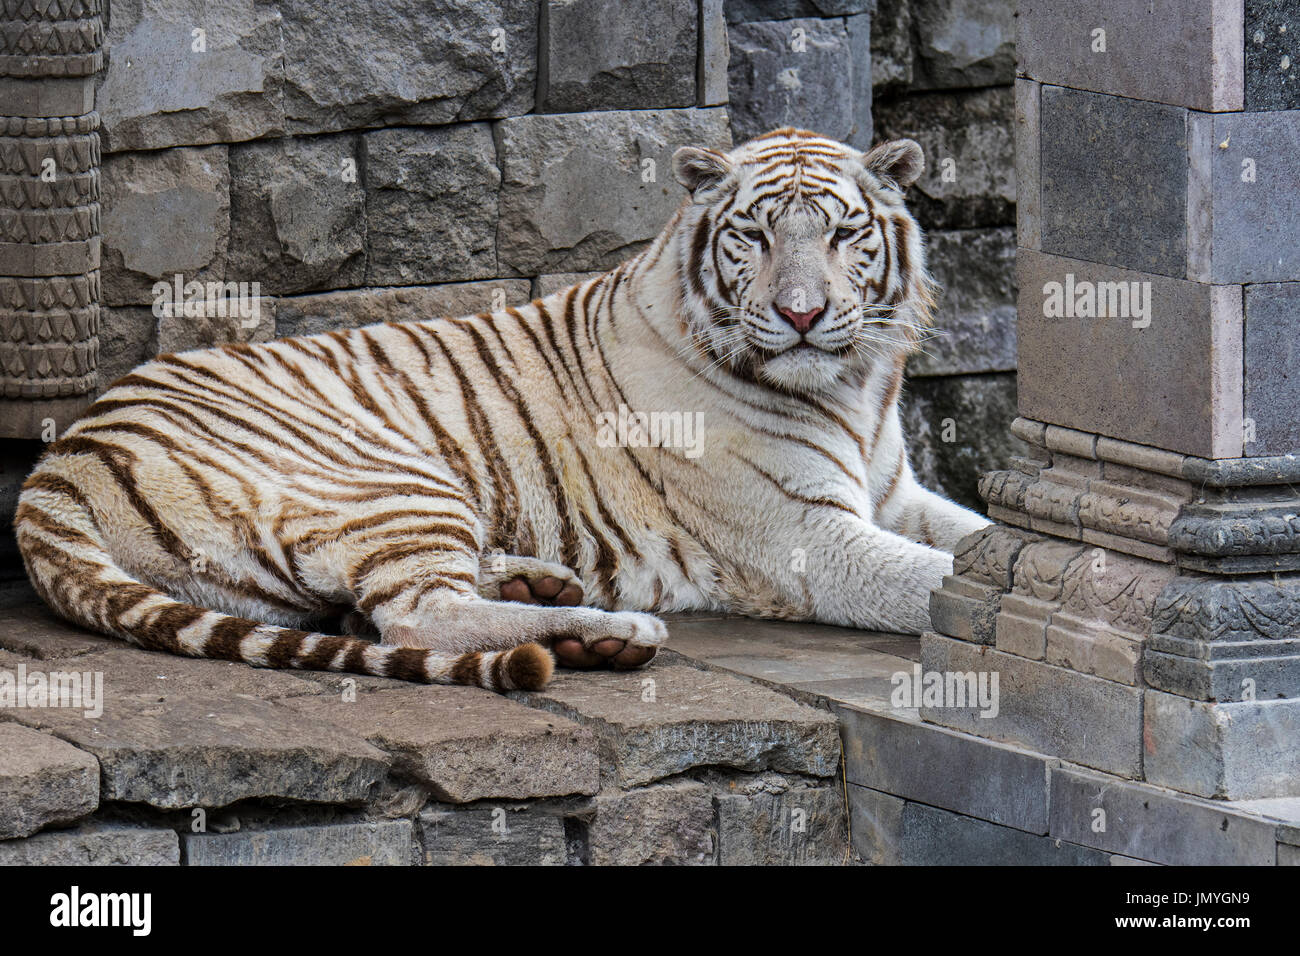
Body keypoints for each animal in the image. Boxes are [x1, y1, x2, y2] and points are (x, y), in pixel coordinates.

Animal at [14, 128, 990, 693]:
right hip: (386, 474)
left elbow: (976, 541)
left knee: (381, 605)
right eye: (753, 235)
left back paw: (539, 582)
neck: (854, 385)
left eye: (844, 234)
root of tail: (64, 458)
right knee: (418, 614)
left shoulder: (894, 495)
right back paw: (612, 632)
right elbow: (926, 580)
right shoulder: (803, 536)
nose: (801, 314)